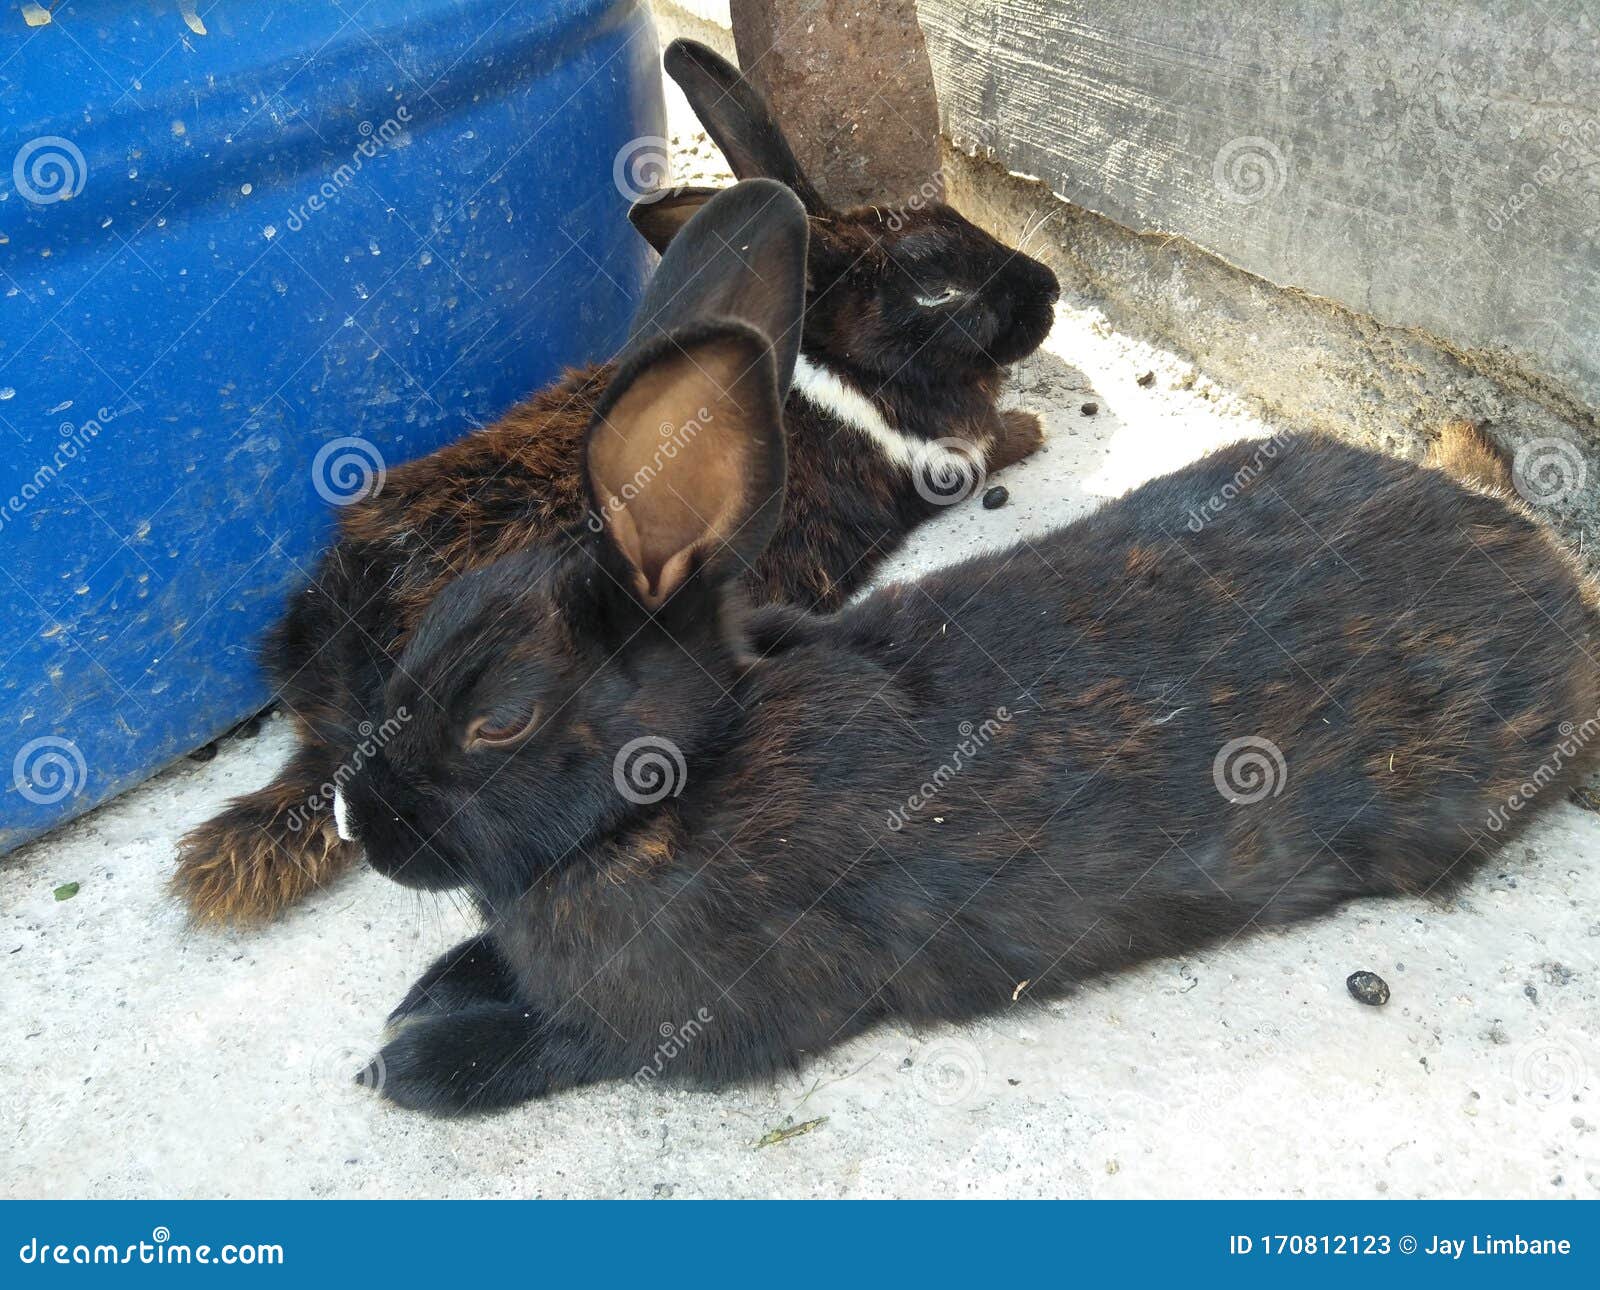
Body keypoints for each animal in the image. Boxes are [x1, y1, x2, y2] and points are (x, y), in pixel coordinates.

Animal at [337, 180, 1600, 1115]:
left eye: (500, 716)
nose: (359, 822)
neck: (680, 783)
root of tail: (1532, 557)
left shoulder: (710, 1013)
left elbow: (565, 1046)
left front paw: (412, 1063)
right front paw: (431, 988)